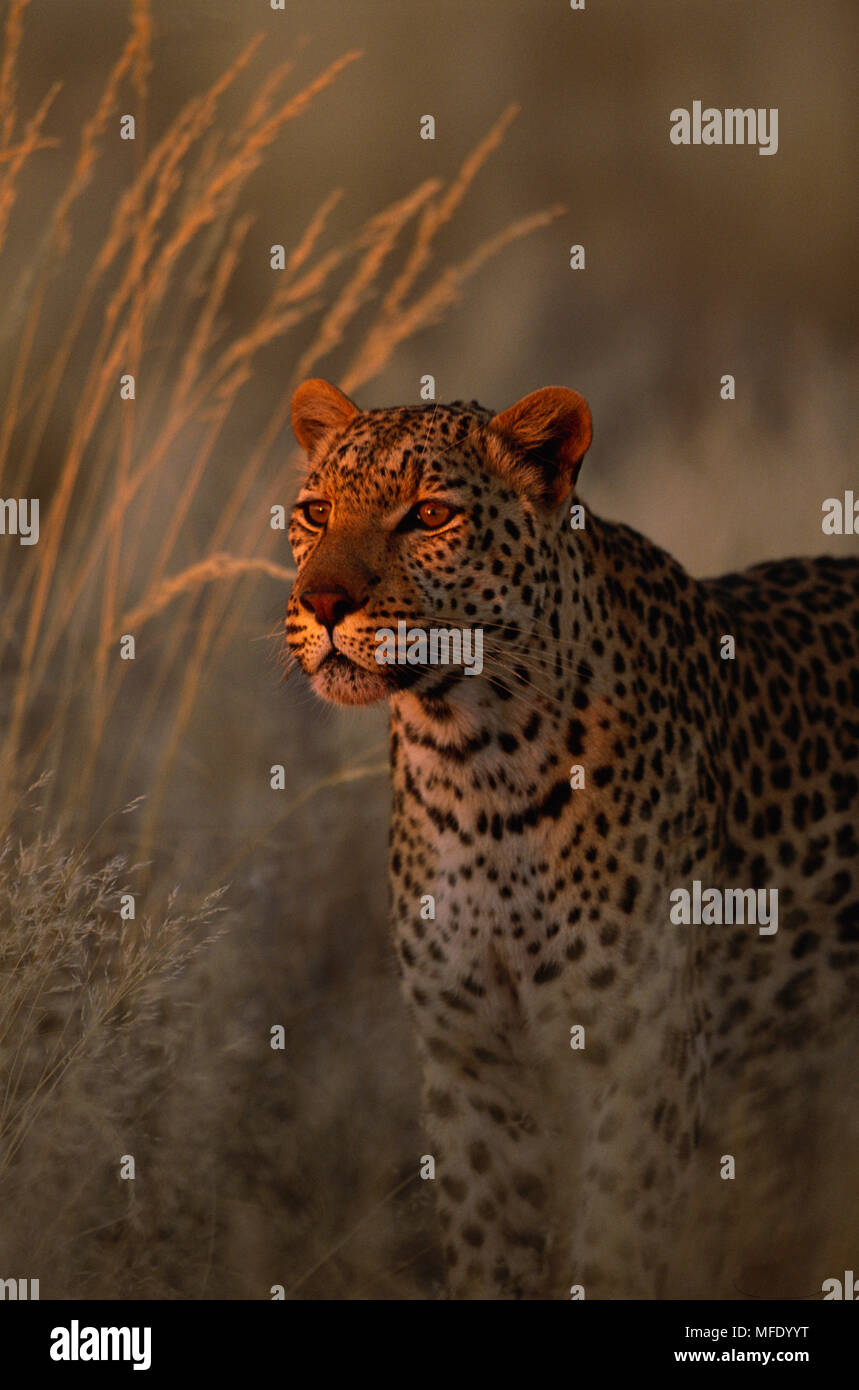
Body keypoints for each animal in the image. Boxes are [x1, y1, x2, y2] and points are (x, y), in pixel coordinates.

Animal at [283, 376, 859, 1300]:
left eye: (429, 515)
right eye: (313, 511)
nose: (322, 602)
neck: (474, 761)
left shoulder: (645, 1052)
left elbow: (617, 1244)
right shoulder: (469, 1057)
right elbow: (487, 1245)